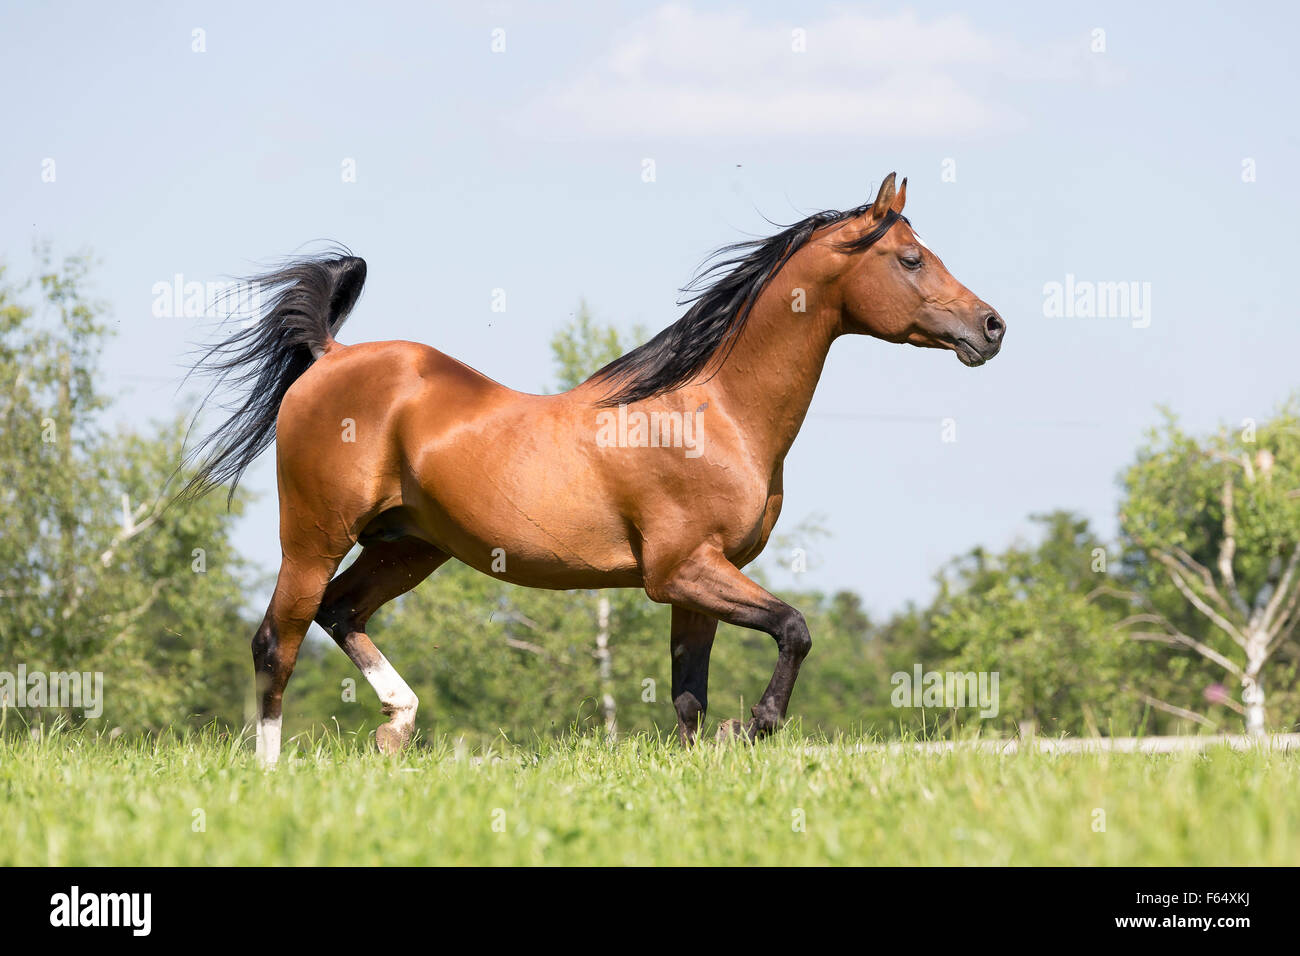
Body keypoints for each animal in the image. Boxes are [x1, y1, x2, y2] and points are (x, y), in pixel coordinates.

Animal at [183, 173, 1005, 766]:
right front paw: (756, 726)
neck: (713, 411)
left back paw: (396, 727)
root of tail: (332, 355)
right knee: (277, 643)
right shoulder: (681, 570)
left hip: (410, 546)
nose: (992, 326)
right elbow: (794, 629)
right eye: (911, 258)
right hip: (313, 538)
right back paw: (273, 774)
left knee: (341, 613)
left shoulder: (699, 583)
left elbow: (689, 696)